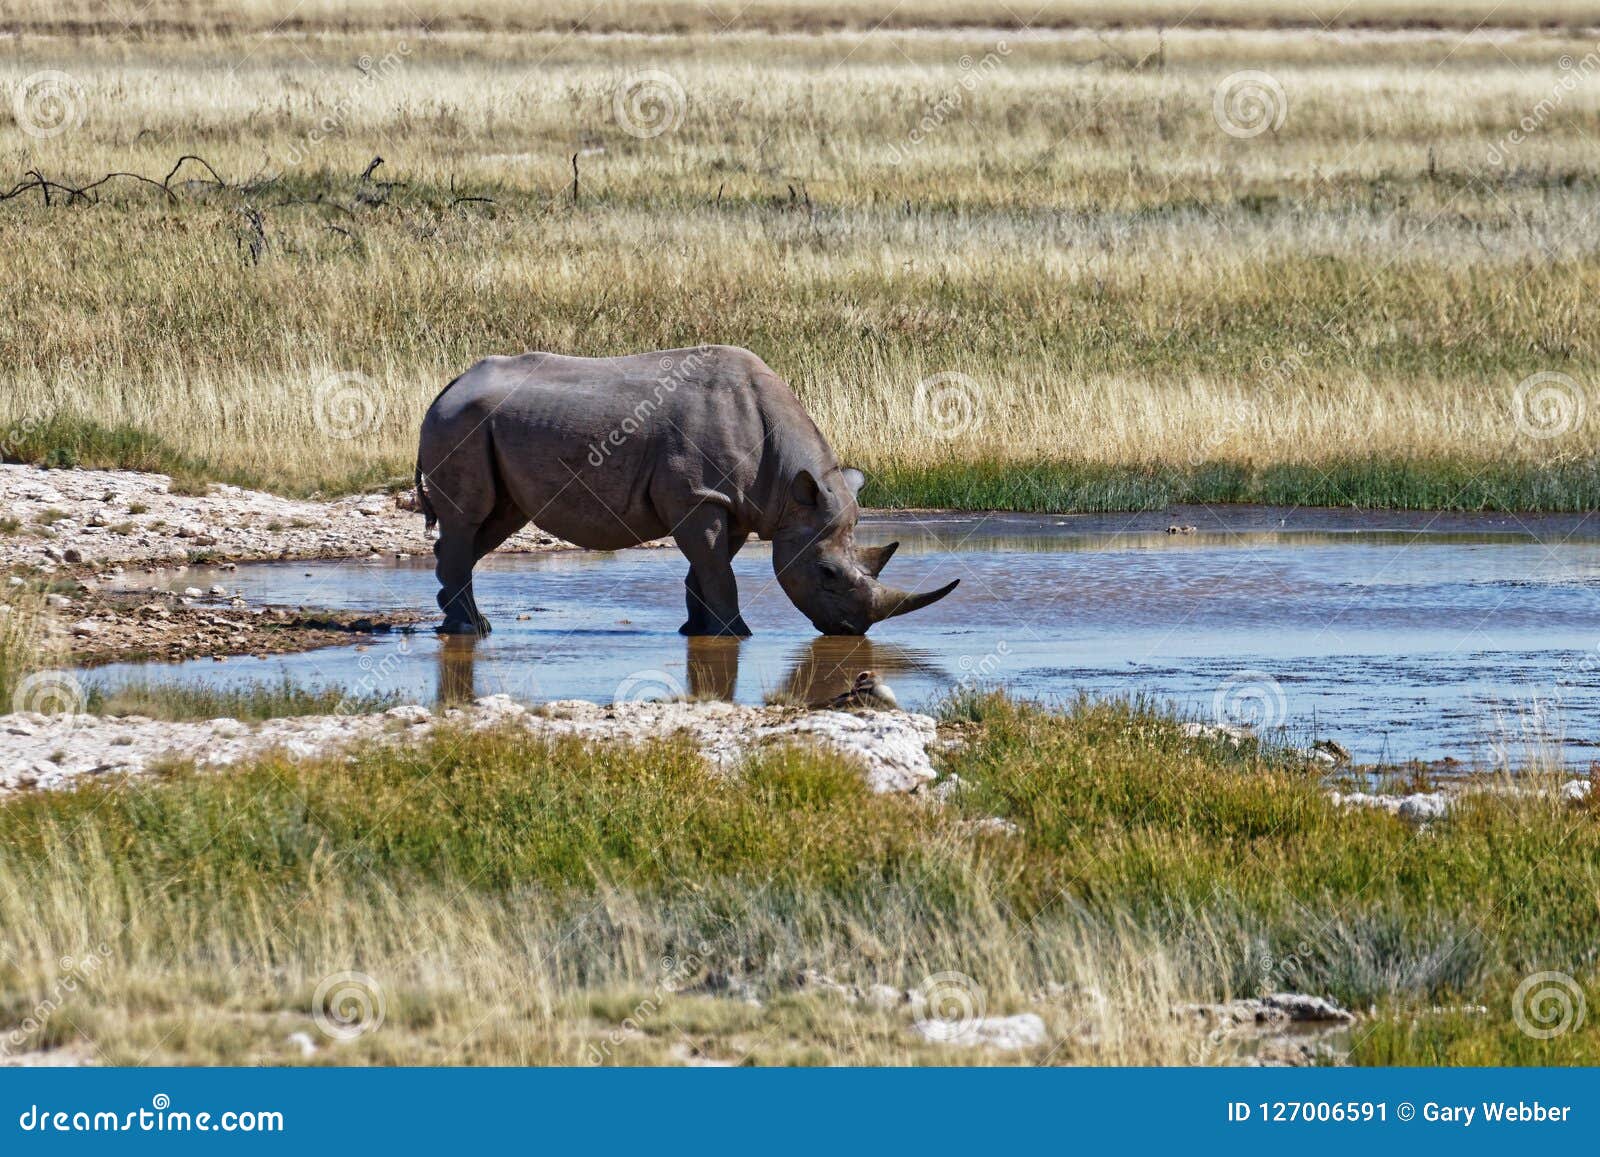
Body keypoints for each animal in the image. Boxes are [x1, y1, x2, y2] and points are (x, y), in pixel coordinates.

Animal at [414, 345, 958, 637]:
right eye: (826, 573)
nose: (851, 631)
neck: (789, 487)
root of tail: (449, 386)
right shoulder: (698, 497)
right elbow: (718, 569)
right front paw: (736, 634)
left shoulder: (729, 501)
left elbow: (710, 566)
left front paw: (697, 631)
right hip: (462, 423)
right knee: (469, 519)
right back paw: (470, 629)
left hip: (482, 426)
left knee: (492, 522)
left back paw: (459, 619)